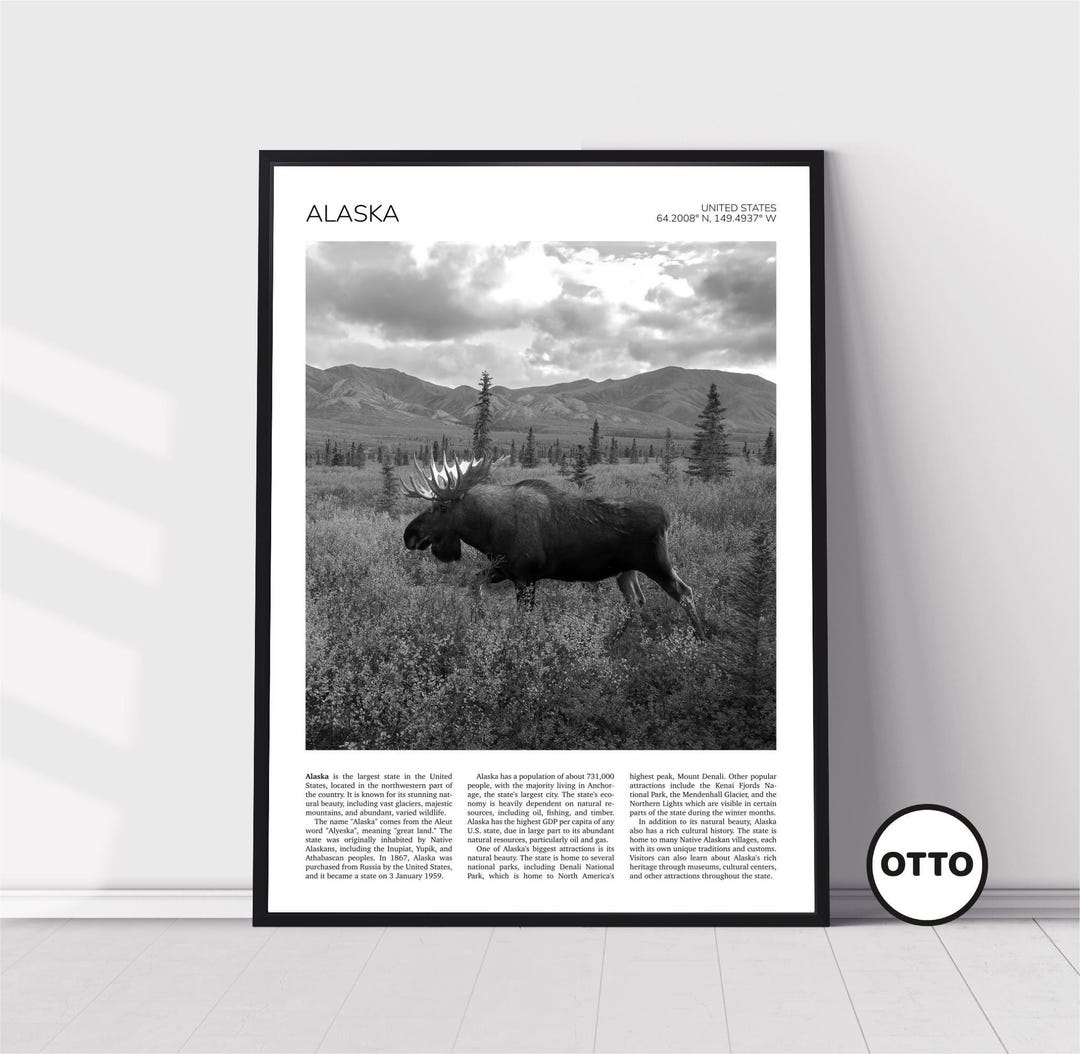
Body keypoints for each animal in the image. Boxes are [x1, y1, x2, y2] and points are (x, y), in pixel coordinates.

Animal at [401, 453, 702, 633]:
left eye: (441, 507)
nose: (409, 535)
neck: (487, 530)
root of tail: (666, 517)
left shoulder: (526, 577)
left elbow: (523, 621)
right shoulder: (502, 569)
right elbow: (474, 584)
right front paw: (480, 617)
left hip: (656, 563)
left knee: (684, 592)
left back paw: (701, 638)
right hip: (625, 571)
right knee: (636, 601)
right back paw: (614, 638)